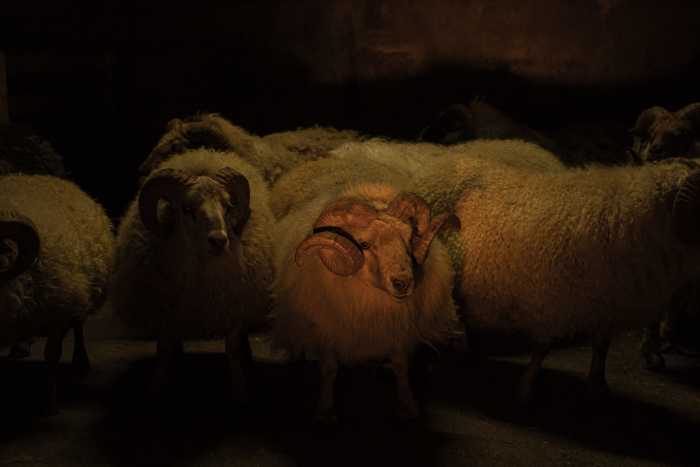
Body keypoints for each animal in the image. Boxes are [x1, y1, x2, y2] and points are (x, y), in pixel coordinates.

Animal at [0, 174, 114, 414]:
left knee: (78, 326)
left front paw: (50, 404)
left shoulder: (57, 314)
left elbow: (51, 355)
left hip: (76, 296)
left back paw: (80, 362)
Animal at [110, 148, 275, 400]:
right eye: (186, 209)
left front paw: (241, 391)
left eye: (228, 206)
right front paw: (156, 388)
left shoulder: (233, 310)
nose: (219, 240)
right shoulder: (165, 313)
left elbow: (233, 349)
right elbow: (164, 350)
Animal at [271, 152, 461, 421]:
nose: (403, 283)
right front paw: (325, 410)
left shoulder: (398, 327)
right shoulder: (327, 328)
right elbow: (329, 368)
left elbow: (401, 366)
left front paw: (408, 406)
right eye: (364, 244)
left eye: (408, 237)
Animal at [413, 155, 700, 402]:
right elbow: (542, 349)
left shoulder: (606, 305)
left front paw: (598, 386)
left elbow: (602, 346)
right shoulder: (553, 301)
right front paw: (527, 389)